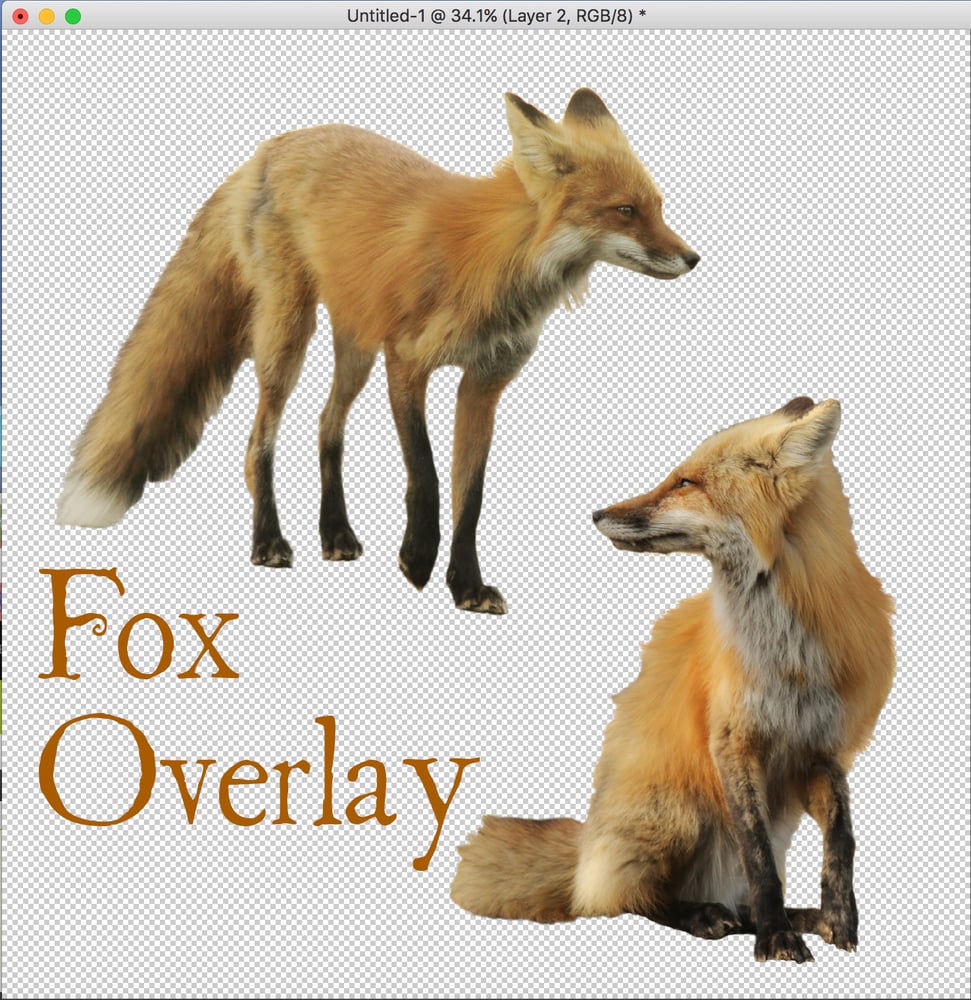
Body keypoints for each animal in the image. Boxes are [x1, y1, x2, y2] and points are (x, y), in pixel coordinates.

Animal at [55, 88, 698, 613]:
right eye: (625, 210)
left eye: (658, 206)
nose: (694, 259)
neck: (498, 260)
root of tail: (270, 147)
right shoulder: (407, 362)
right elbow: (427, 475)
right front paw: (417, 558)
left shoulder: (483, 384)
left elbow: (471, 495)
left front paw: (466, 586)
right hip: (288, 334)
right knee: (258, 441)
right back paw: (269, 540)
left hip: (355, 349)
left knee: (325, 425)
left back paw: (335, 533)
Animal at [451, 398, 896, 961]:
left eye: (685, 483)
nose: (596, 513)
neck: (788, 658)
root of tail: (586, 848)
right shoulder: (731, 742)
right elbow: (758, 859)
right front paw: (776, 938)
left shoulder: (822, 748)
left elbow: (842, 840)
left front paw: (838, 919)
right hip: (679, 812)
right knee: (631, 898)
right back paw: (706, 914)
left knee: (729, 899)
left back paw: (786, 915)